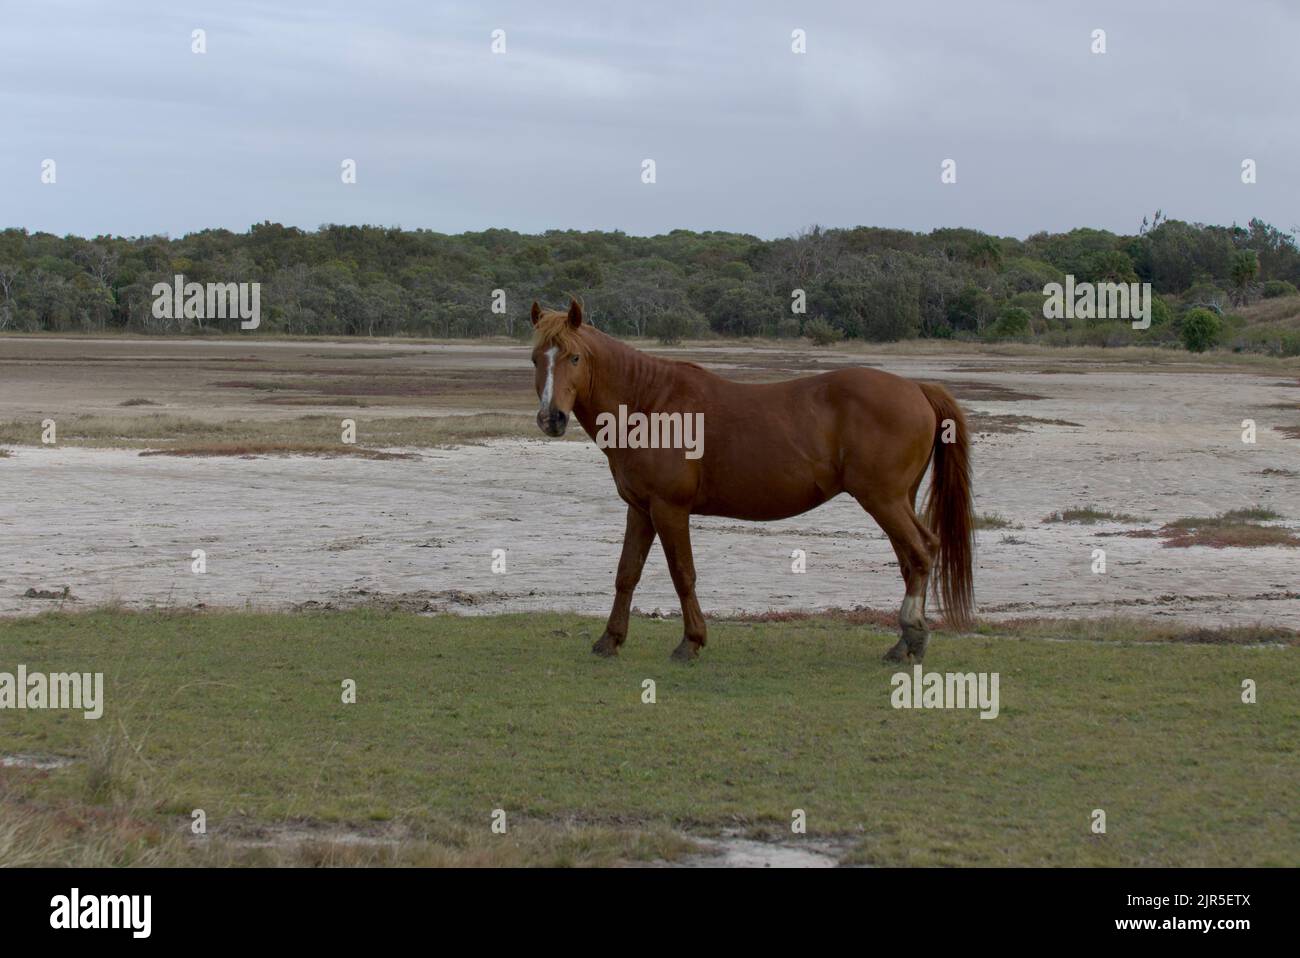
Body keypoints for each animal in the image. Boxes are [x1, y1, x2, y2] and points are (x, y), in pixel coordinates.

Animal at [528, 297, 974, 663]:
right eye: (536, 359)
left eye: (574, 358)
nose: (552, 418)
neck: (648, 404)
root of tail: (916, 387)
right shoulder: (640, 508)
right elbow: (626, 574)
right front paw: (610, 640)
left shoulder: (669, 508)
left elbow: (682, 573)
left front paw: (691, 641)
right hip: (898, 500)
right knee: (910, 560)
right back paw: (903, 643)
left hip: (884, 500)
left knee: (922, 551)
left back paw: (913, 636)